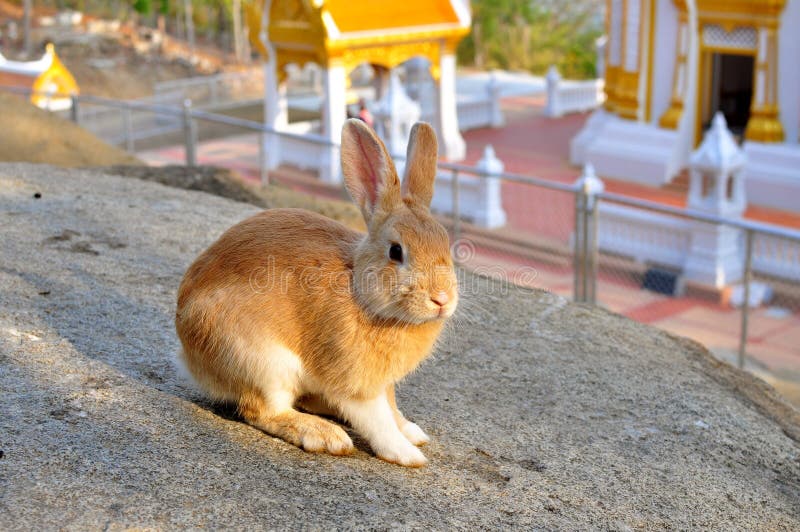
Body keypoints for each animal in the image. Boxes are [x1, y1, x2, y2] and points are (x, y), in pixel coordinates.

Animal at [175, 119, 458, 467]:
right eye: (396, 251)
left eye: (446, 244)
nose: (442, 299)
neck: (360, 293)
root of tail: (189, 356)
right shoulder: (353, 383)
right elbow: (377, 420)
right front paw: (408, 455)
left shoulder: (384, 383)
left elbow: (392, 409)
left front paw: (413, 432)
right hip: (262, 362)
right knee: (262, 411)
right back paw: (324, 435)